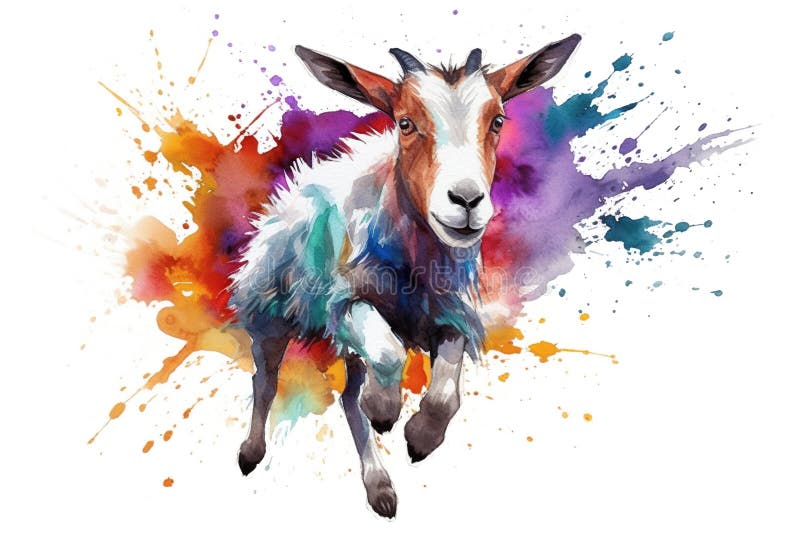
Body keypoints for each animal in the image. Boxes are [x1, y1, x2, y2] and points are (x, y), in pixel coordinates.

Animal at [229, 35, 581, 518]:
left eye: (497, 121)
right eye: (405, 122)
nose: (466, 201)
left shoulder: (446, 317)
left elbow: (445, 392)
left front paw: (419, 437)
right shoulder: (345, 302)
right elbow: (388, 354)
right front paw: (384, 409)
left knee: (346, 397)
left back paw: (379, 486)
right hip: (270, 312)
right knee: (264, 382)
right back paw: (251, 452)